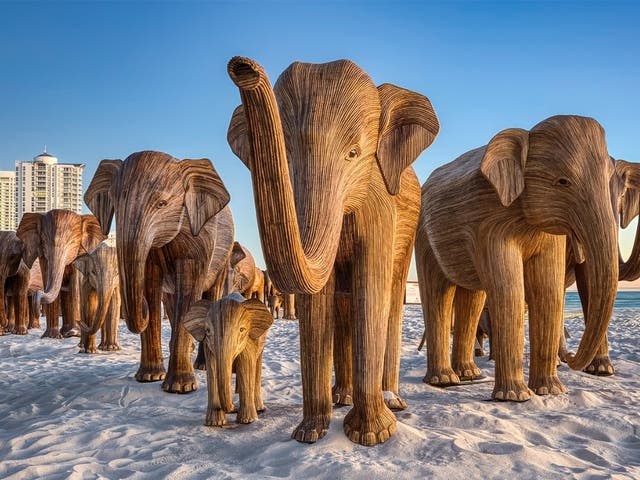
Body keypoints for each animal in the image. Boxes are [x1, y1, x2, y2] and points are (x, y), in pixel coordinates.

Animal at [16, 210, 106, 338]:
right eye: (44, 240)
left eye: (73, 242)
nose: (36, 294)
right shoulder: (42, 254)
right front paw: (50, 337)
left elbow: (76, 285)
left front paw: (75, 334)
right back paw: (64, 333)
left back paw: (69, 333)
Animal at [85, 151, 234, 393]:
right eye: (113, 201)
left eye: (162, 204)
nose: (142, 308)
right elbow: (150, 283)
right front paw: (149, 377)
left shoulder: (200, 238)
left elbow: (189, 290)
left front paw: (180, 388)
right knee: (170, 300)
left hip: (224, 258)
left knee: (209, 295)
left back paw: (201, 366)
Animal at [183, 293, 273, 427]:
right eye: (207, 331)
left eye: (242, 330)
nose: (232, 409)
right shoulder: (208, 345)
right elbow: (213, 371)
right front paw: (215, 423)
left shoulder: (248, 342)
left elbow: (246, 368)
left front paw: (247, 421)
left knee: (256, 369)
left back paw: (259, 409)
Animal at [227, 56, 439, 445]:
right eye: (288, 155)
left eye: (354, 154)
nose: (242, 68)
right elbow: (318, 300)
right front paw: (309, 434)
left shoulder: (380, 203)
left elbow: (371, 290)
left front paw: (372, 435)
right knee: (342, 306)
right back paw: (342, 397)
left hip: (411, 224)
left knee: (390, 297)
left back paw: (393, 402)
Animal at [417, 115, 618, 402]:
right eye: (562, 182)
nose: (569, 358)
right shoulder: (491, 219)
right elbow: (509, 290)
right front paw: (515, 397)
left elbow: (548, 291)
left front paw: (550, 391)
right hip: (424, 235)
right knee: (438, 293)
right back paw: (444, 380)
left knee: (472, 298)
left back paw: (469, 375)